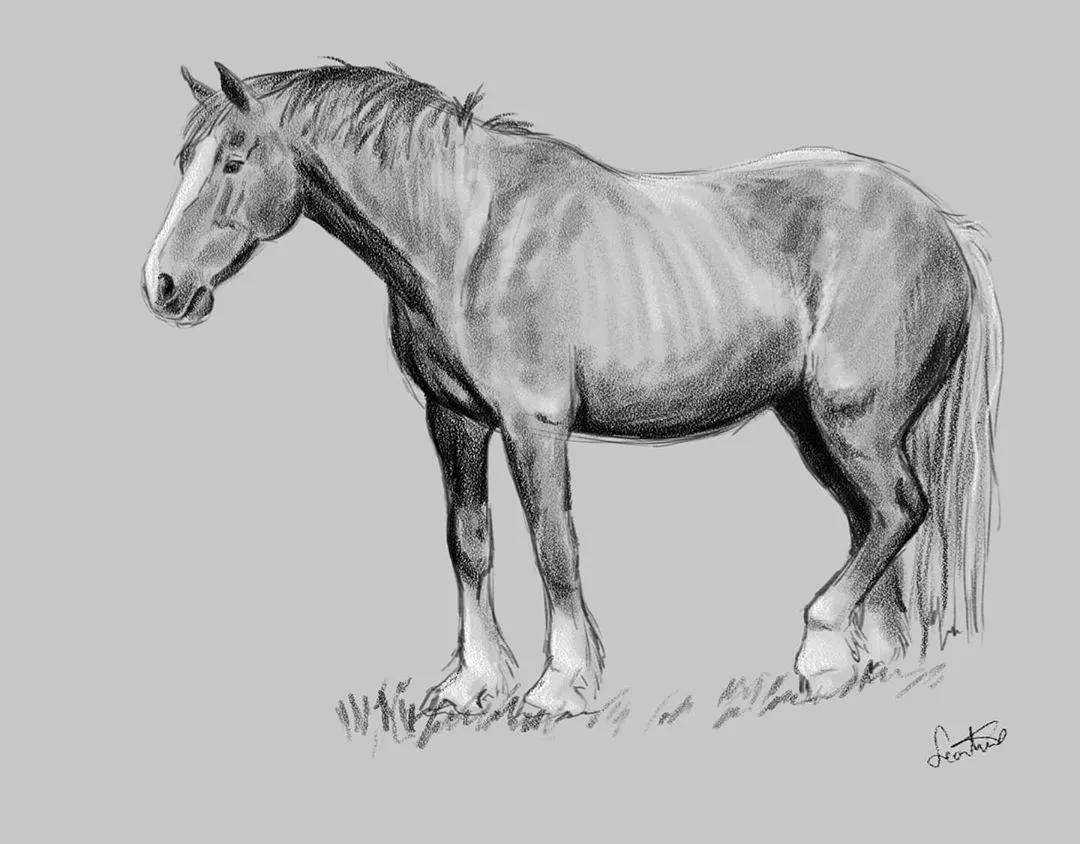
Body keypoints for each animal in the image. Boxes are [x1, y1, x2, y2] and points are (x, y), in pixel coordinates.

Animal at [143, 61, 1002, 717]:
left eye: (233, 160)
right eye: (184, 160)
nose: (163, 286)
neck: (471, 238)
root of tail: (939, 224)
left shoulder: (536, 425)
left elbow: (555, 548)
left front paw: (559, 686)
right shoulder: (455, 418)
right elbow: (470, 542)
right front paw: (471, 684)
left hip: (854, 420)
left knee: (898, 509)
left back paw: (821, 649)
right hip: (815, 424)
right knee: (873, 519)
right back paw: (866, 665)